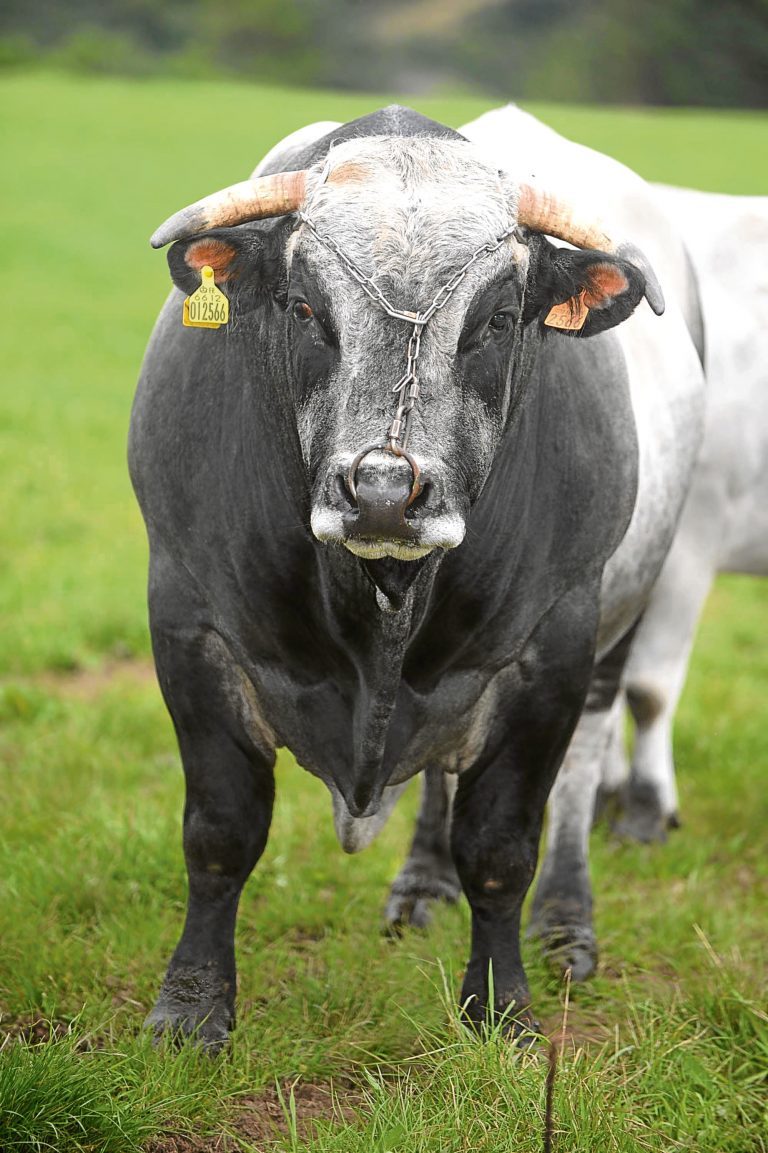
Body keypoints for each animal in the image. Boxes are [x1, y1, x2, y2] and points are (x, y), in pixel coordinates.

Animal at [130, 104, 704, 1048]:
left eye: (500, 319)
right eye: (303, 306)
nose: (383, 490)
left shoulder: (549, 650)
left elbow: (502, 846)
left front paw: (502, 1006)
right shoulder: (189, 619)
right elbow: (220, 833)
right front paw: (190, 1008)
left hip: (622, 619)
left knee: (583, 769)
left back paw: (567, 923)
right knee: (439, 774)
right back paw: (422, 883)